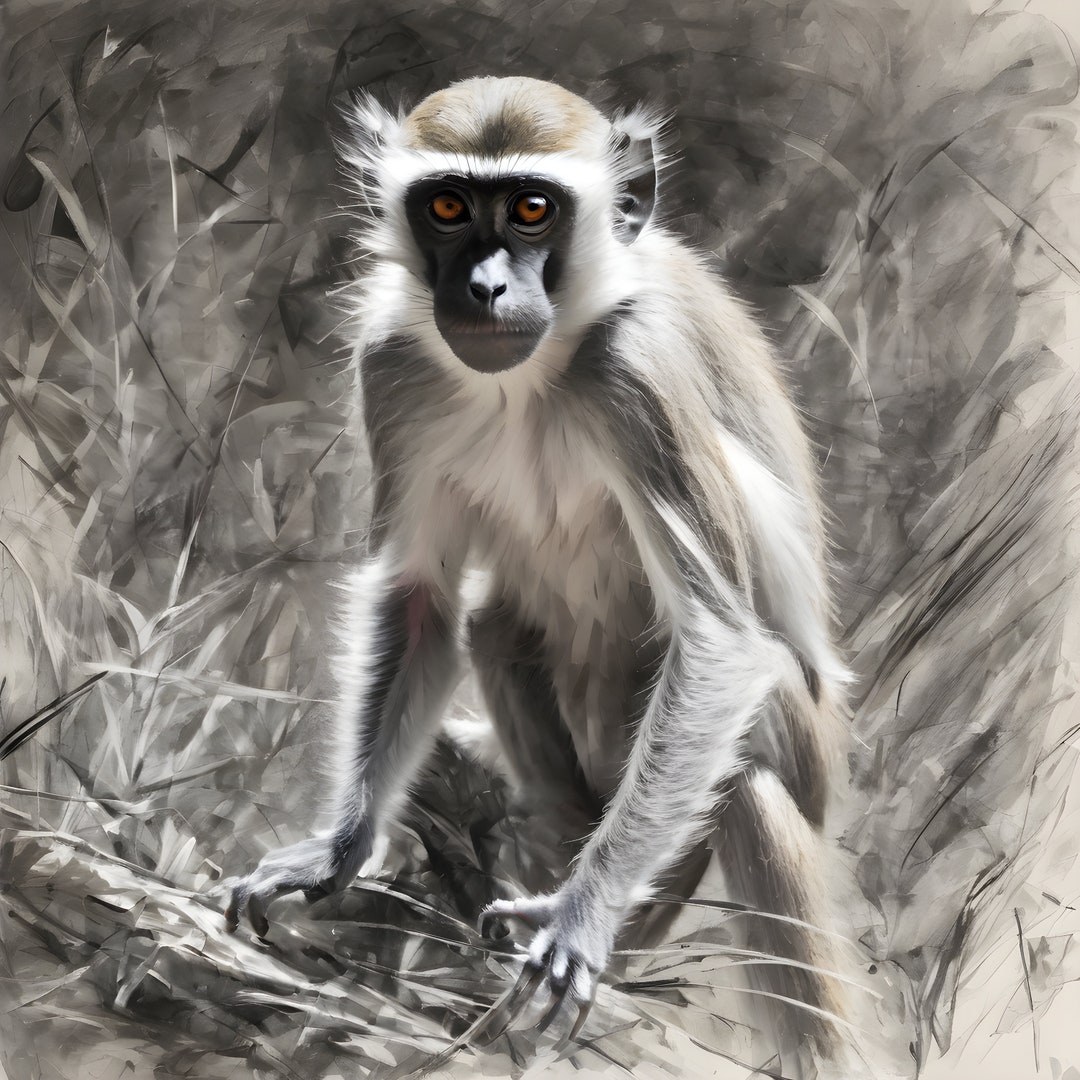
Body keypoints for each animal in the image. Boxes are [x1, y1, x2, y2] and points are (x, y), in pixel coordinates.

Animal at [225, 76, 853, 1069]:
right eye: (447, 207)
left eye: (531, 210)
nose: (485, 285)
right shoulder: (392, 361)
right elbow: (420, 599)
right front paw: (340, 846)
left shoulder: (633, 370)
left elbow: (718, 640)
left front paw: (581, 915)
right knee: (495, 624)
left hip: (799, 750)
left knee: (749, 779)